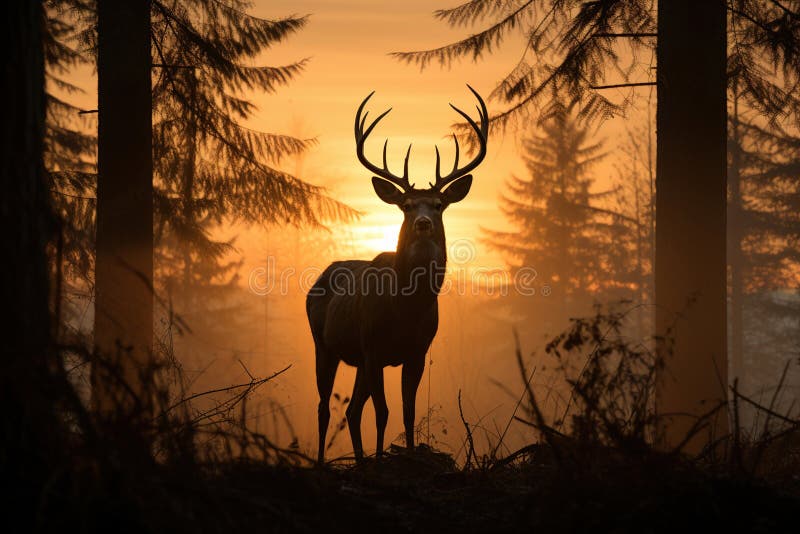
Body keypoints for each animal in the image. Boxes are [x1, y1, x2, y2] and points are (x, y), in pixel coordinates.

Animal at [306, 85, 488, 463]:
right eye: (406, 205)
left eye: (439, 204)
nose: (423, 223)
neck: (406, 308)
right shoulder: (373, 347)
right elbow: (383, 412)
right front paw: (381, 458)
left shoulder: (416, 352)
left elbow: (406, 410)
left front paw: (407, 455)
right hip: (324, 345)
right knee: (324, 407)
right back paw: (323, 462)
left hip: (357, 360)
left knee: (351, 410)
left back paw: (360, 461)